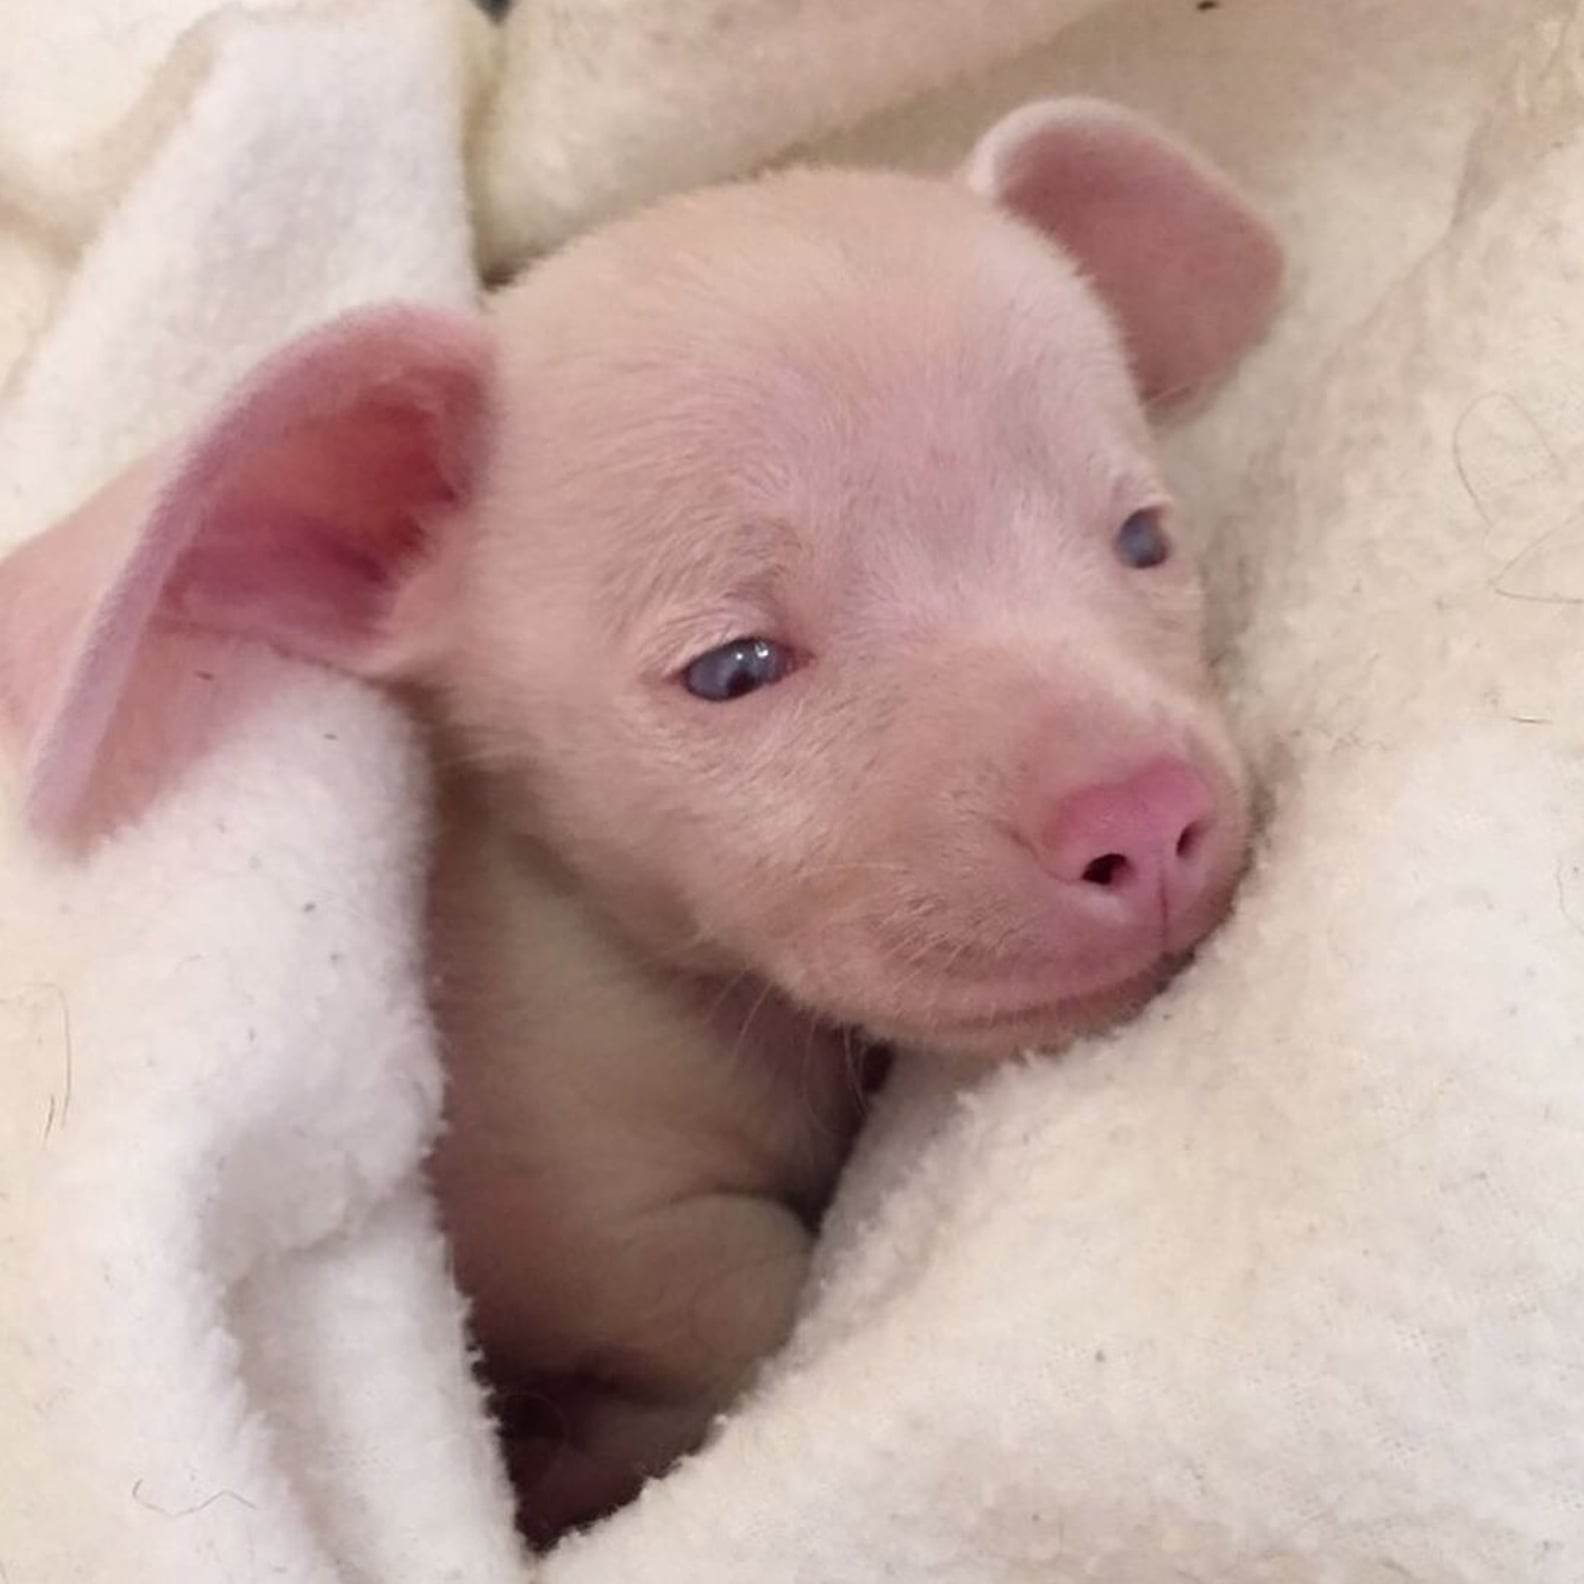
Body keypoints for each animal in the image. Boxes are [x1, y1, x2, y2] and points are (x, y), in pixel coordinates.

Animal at [0, 99, 1280, 1539]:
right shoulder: (557, 1179)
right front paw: (572, 1467)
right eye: (732, 668)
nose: (1150, 817)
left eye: (1142, 538)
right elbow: (742, 1285)